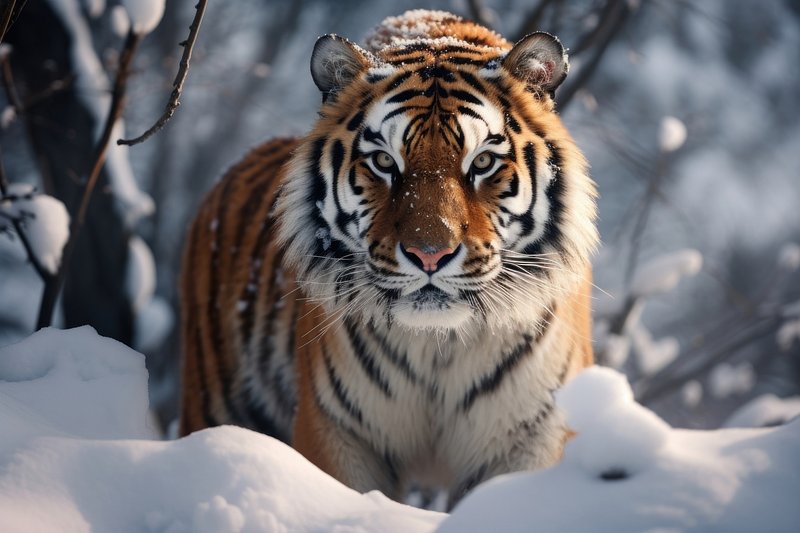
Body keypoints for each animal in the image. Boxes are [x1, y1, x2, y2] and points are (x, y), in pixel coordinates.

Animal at [180, 9, 598, 508]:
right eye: (383, 162)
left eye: (482, 163)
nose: (429, 254)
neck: (440, 347)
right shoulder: (340, 433)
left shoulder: (528, 436)